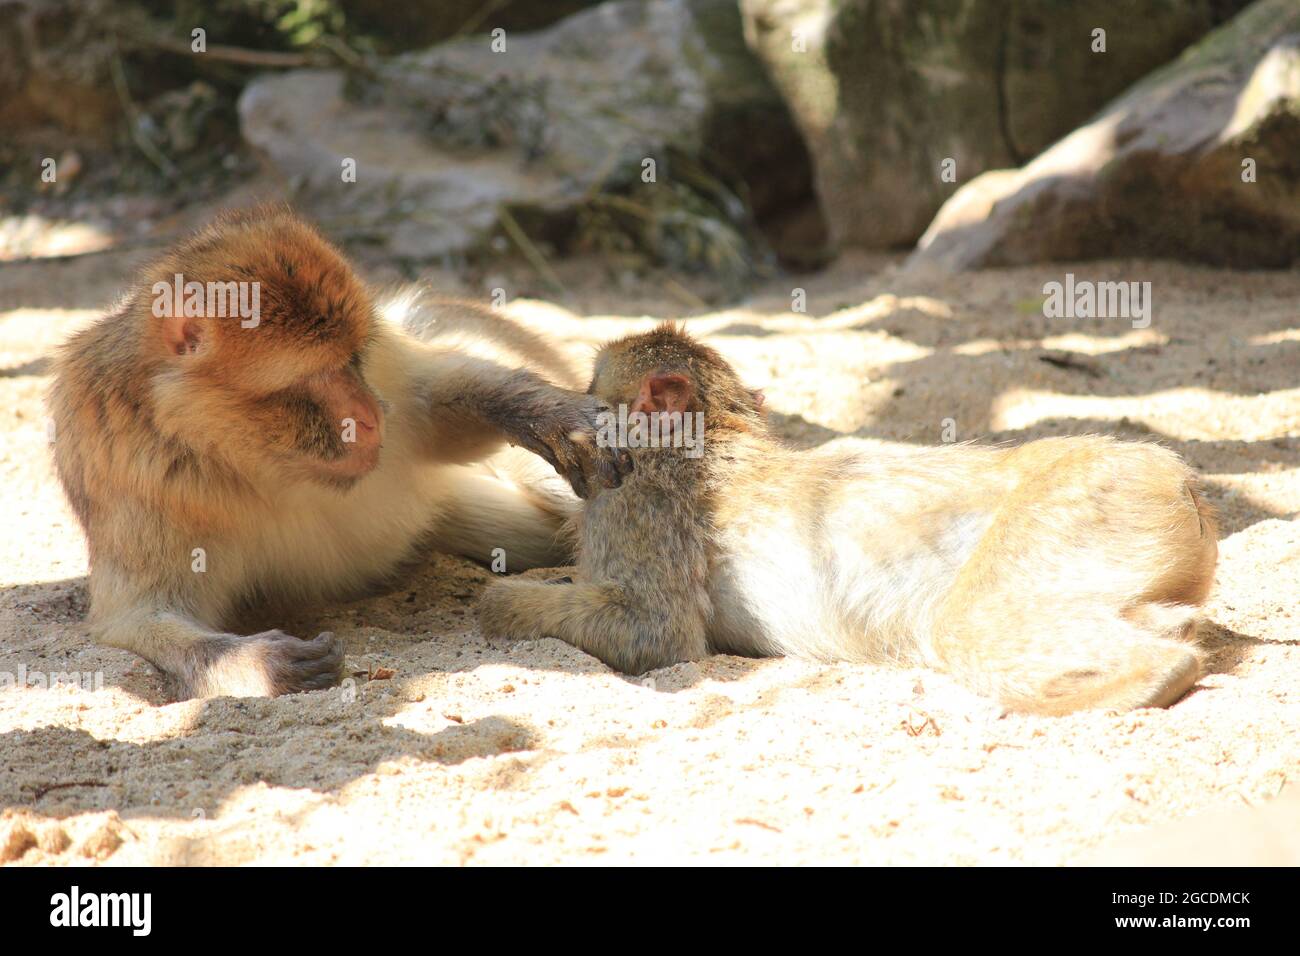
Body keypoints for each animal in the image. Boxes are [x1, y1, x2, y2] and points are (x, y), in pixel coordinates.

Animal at [47, 204, 632, 699]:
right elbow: (135, 619)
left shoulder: (389, 369)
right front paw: (260, 664)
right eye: (313, 379)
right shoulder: (139, 482)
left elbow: (433, 405)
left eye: (352, 360)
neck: (252, 459)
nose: (371, 417)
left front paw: (555, 419)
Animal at [477, 323, 1219, 715]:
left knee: (968, 624)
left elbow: (657, 631)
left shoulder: (633, 497)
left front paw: (502, 602)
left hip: (1079, 503)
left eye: (592, 387)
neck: (716, 432)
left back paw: (1153, 673)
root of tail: (1182, 480)